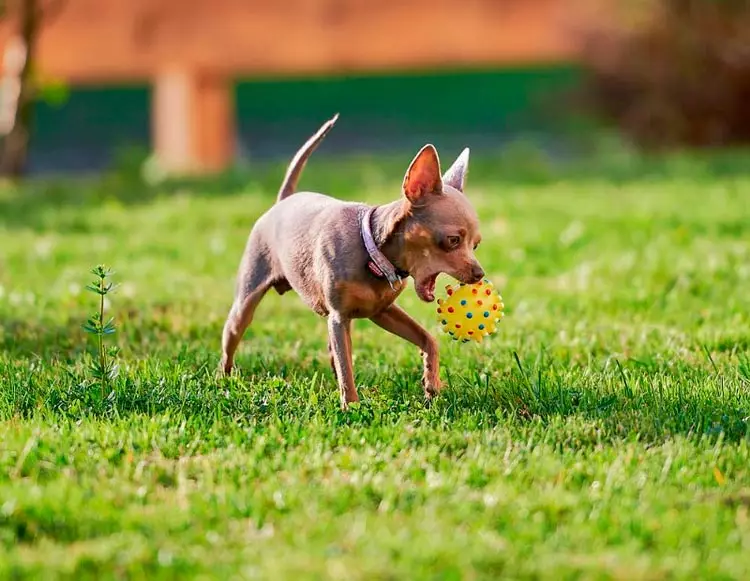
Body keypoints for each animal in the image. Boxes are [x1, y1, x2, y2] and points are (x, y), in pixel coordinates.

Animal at [222, 115, 488, 408]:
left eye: (475, 245)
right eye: (453, 240)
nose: (479, 274)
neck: (371, 252)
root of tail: (283, 200)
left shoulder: (382, 312)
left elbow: (427, 339)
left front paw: (431, 384)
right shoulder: (340, 318)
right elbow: (347, 367)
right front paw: (351, 406)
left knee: (333, 353)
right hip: (245, 303)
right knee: (232, 339)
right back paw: (224, 381)